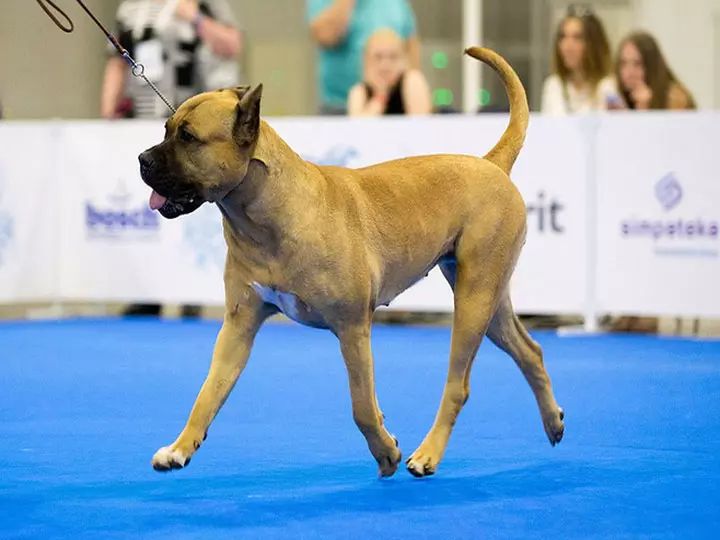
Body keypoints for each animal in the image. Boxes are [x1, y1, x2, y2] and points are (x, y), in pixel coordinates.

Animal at [139, 46, 564, 476]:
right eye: (166, 129)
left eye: (188, 137)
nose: (142, 158)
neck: (267, 211)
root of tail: (491, 163)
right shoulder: (239, 326)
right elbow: (209, 393)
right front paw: (179, 448)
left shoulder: (353, 328)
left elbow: (361, 406)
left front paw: (387, 452)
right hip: (487, 299)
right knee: (530, 351)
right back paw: (553, 422)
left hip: (474, 298)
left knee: (458, 385)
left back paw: (428, 454)